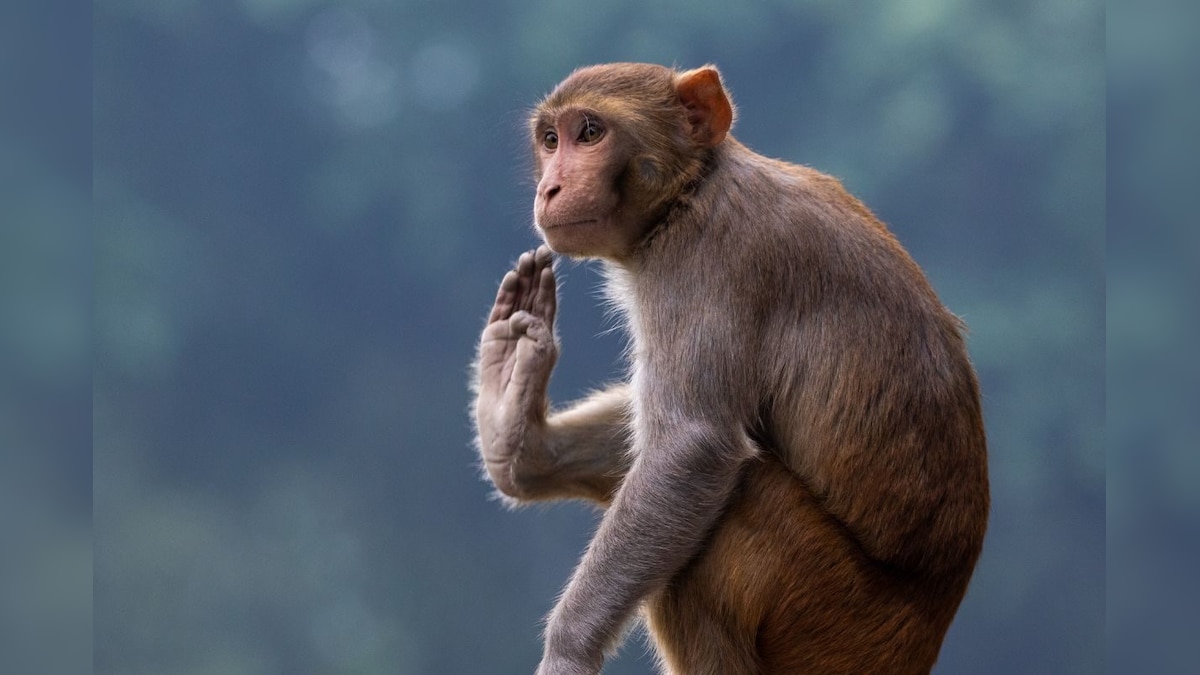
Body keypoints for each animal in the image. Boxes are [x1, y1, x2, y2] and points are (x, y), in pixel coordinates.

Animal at [471, 63, 989, 675]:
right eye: (551, 140)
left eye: (590, 132)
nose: (548, 188)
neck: (692, 189)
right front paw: (517, 428)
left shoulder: (705, 262)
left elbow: (689, 448)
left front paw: (566, 654)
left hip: (841, 622)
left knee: (733, 504)